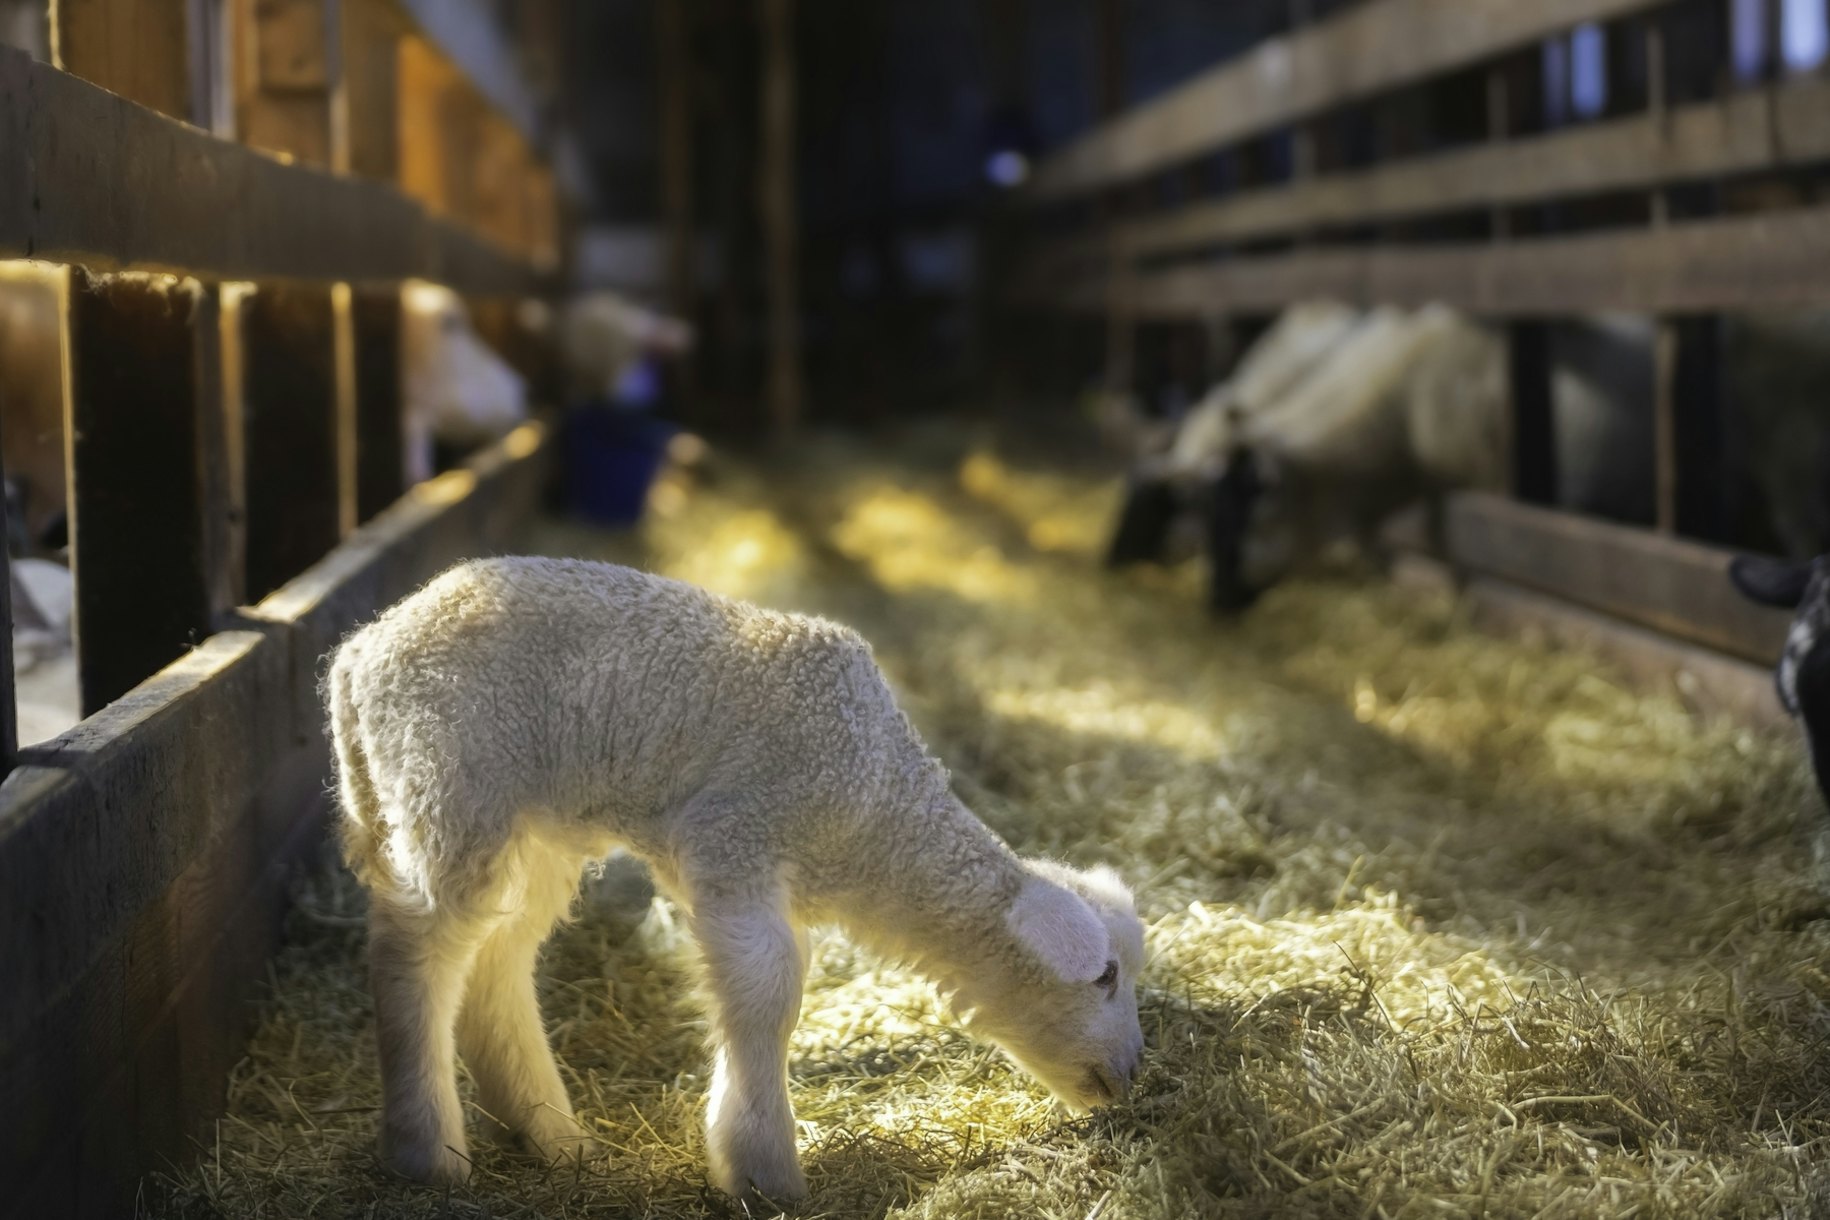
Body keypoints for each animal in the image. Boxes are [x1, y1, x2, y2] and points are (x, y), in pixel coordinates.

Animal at [325, 557, 1146, 1200]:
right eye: (1104, 977)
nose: (1134, 1072)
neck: (875, 815)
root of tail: (359, 649)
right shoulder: (734, 839)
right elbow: (768, 994)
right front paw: (762, 1169)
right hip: (450, 784)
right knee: (415, 949)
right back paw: (425, 1153)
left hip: (528, 827)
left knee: (495, 960)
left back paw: (553, 1139)